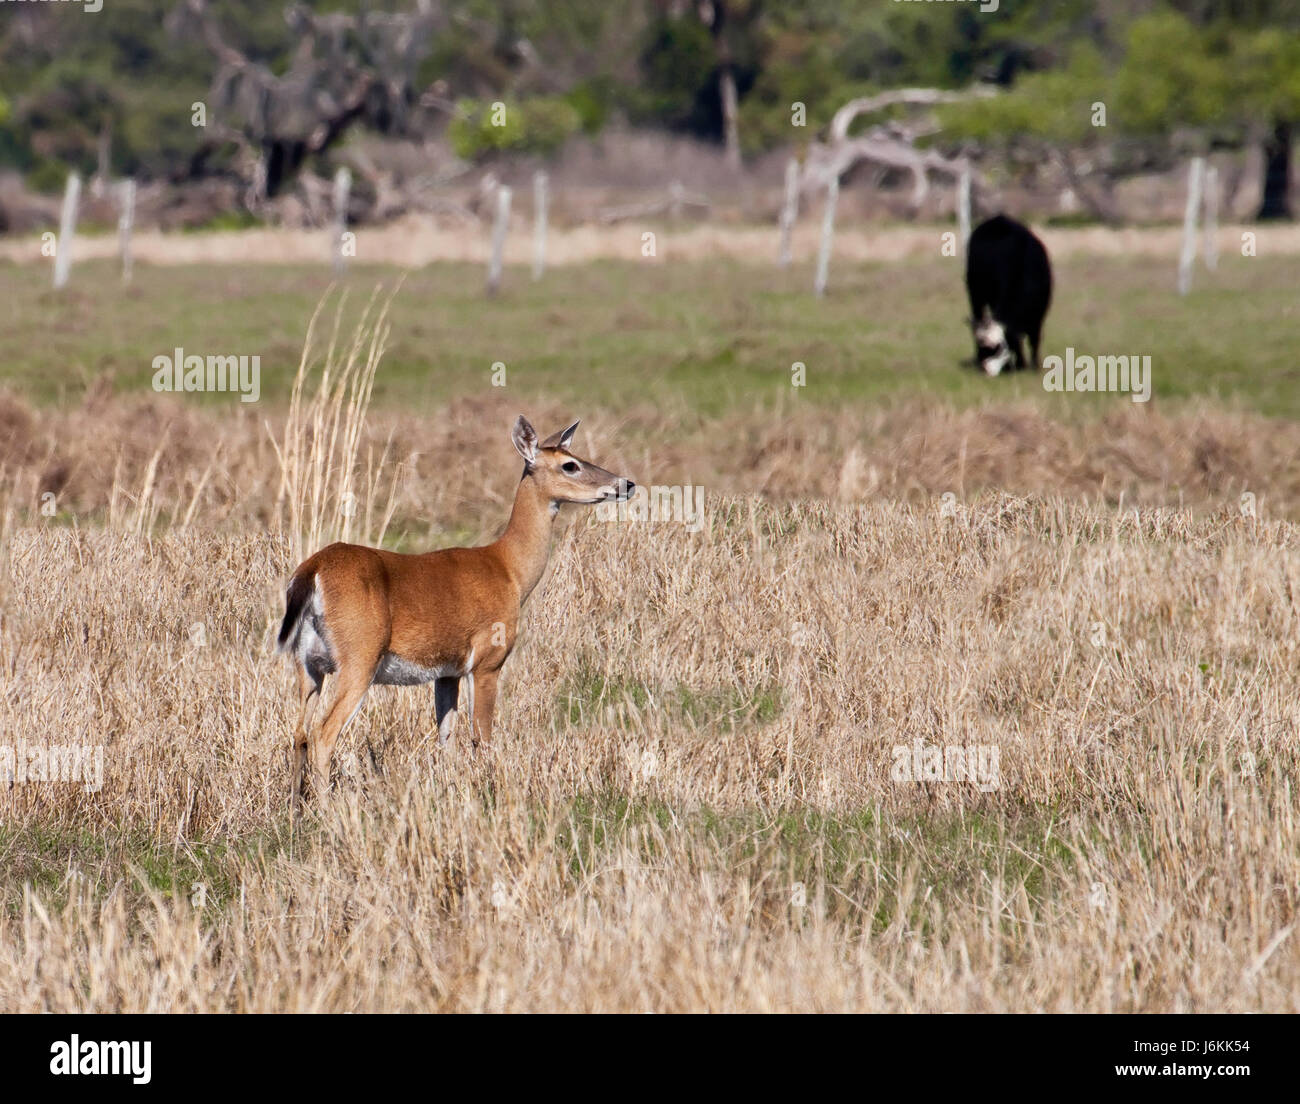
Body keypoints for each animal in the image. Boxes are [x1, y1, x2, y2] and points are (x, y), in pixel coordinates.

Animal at [276, 415, 636, 814]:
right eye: (570, 465)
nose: (626, 484)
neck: (509, 570)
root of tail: (313, 571)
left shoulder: (446, 672)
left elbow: (445, 738)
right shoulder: (488, 659)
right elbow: (482, 737)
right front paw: (491, 793)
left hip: (307, 663)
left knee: (299, 732)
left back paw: (294, 812)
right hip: (359, 657)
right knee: (323, 733)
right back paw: (329, 812)